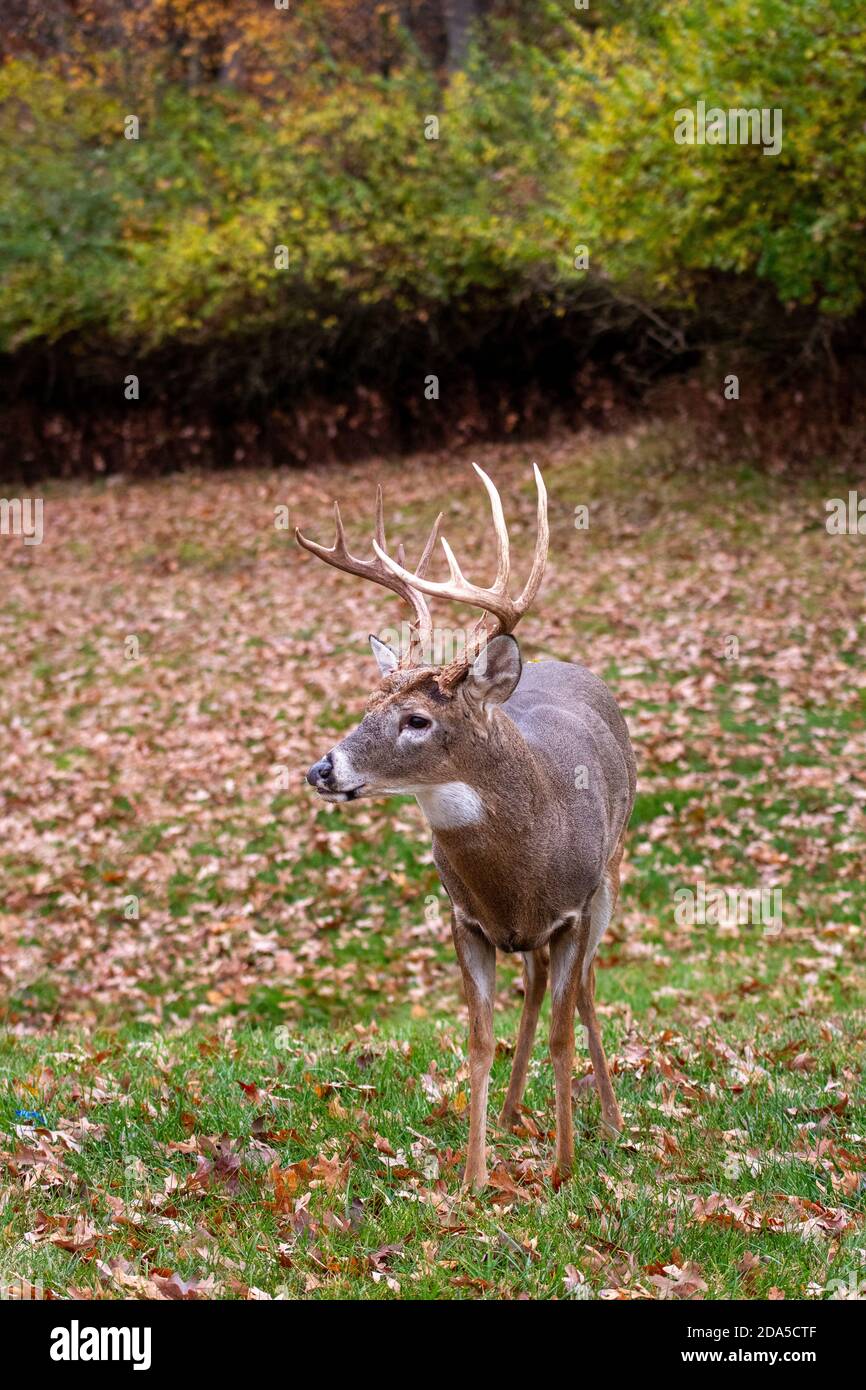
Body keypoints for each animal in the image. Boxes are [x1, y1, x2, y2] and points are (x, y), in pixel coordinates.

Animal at [296, 464, 636, 1188]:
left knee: (586, 989)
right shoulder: (466, 919)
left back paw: (610, 1119)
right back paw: (511, 1113)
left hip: (614, 872)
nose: (322, 769)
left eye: (418, 719)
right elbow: (479, 1038)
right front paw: (475, 1177)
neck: (521, 866)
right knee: (534, 982)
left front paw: (563, 1167)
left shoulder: (576, 906)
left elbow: (565, 1028)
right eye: (370, 704)